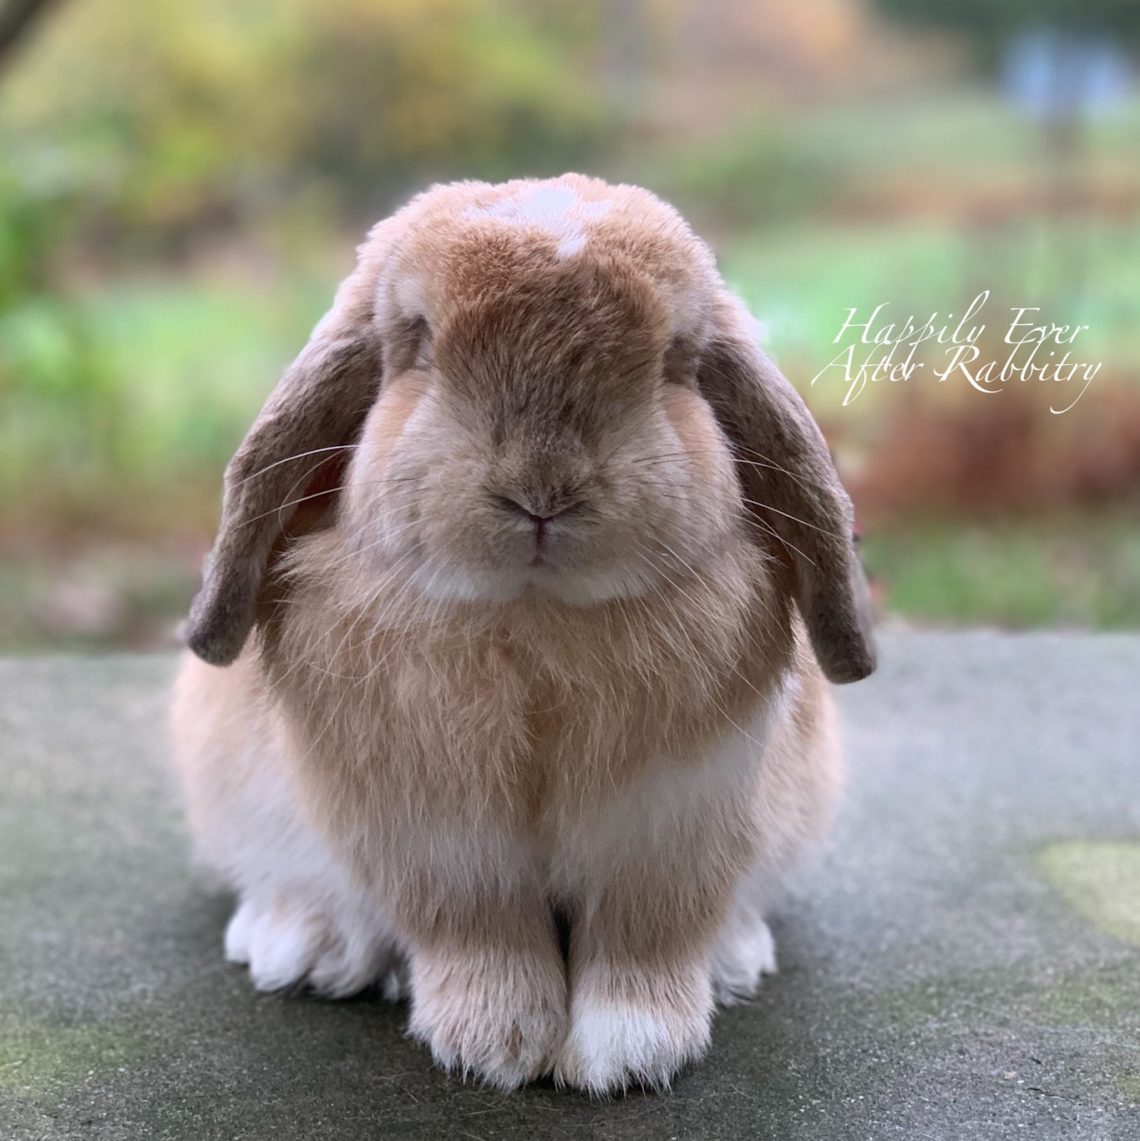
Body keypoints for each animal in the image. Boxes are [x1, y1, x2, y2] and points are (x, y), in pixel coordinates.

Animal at [171, 173, 875, 1095]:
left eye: (675, 360)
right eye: (420, 343)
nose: (542, 491)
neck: (537, 619)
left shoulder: (673, 822)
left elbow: (645, 934)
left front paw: (629, 1051)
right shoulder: (435, 830)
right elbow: (479, 931)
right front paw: (495, 1044)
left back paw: (734, 956)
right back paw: (305, 944)